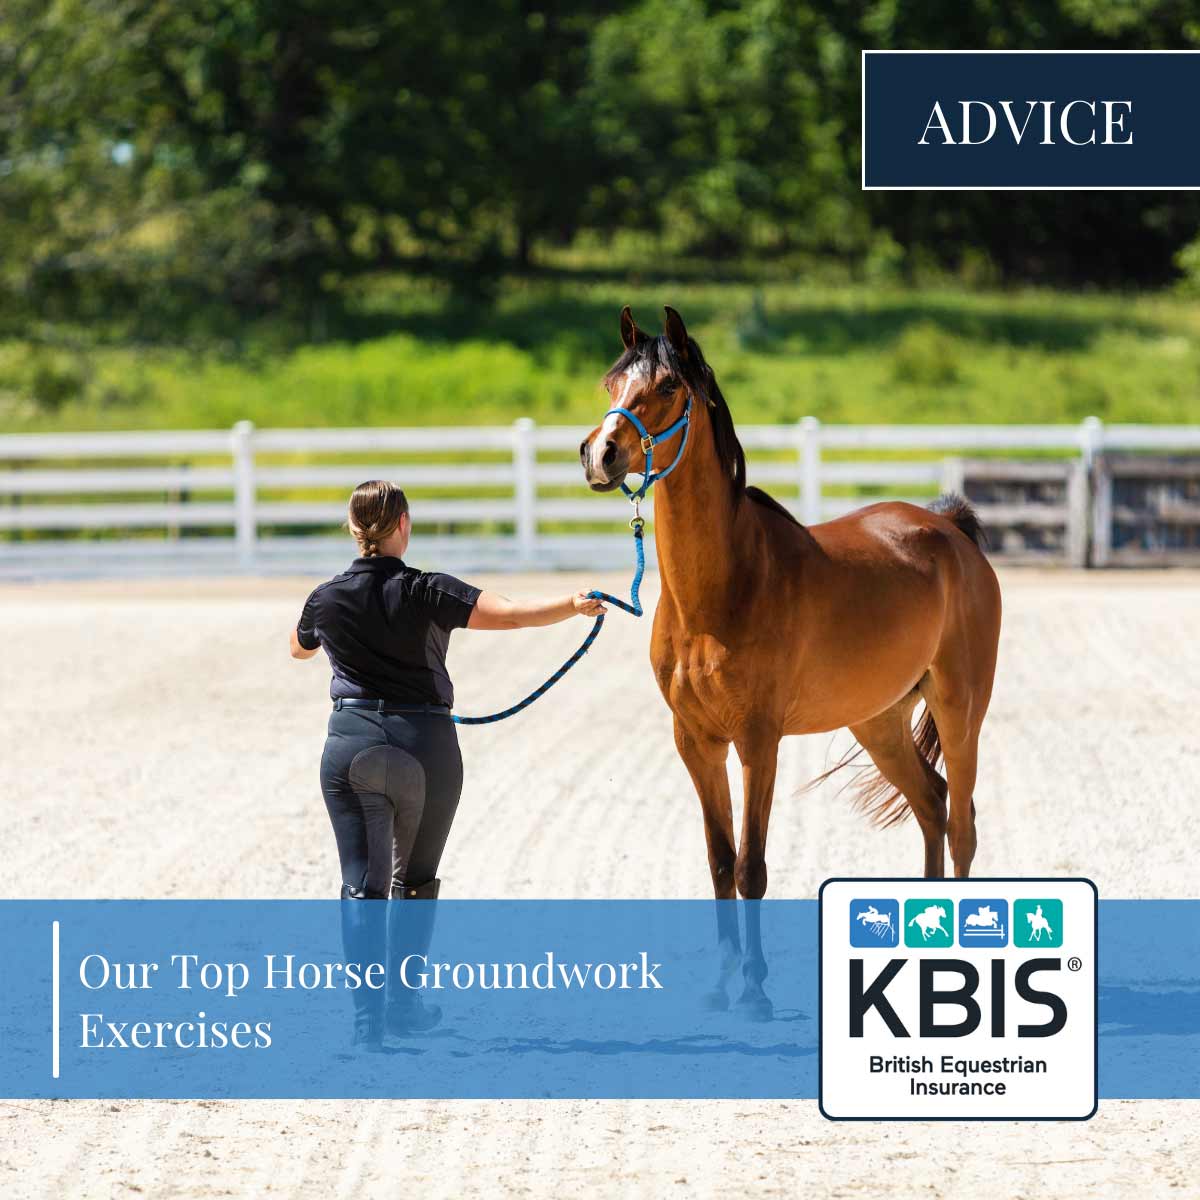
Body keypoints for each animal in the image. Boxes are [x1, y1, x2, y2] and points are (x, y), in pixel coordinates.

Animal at [579, 306, 1001, 1015]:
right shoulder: (695, 742)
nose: (600, 453)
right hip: (878, 720)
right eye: (612, 383)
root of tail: (951, 531)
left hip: (959, 710)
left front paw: (754, 990)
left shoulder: (758, 741)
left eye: (666, 386)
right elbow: (721, 860)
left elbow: (753, 865)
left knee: (963, 822)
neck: (719, 591)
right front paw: (723, 982)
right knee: (932, 804)